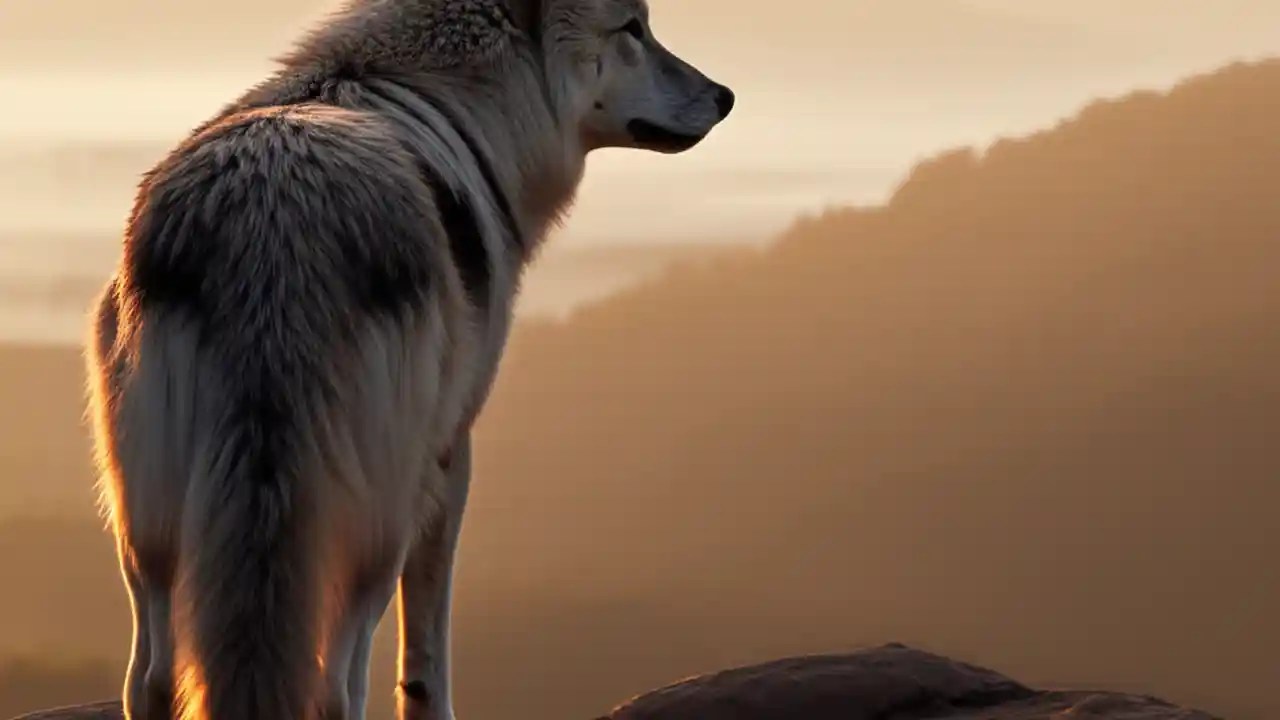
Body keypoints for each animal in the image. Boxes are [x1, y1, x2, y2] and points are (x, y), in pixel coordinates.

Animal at [84, 1, 732, 719]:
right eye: (633, 30)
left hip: (148, 530)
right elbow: (427, 655)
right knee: (334, 688)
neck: (451, 99)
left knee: (152, 679)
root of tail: (270, 226)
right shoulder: (451, 454)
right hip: (373, 526)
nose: (726, 97)